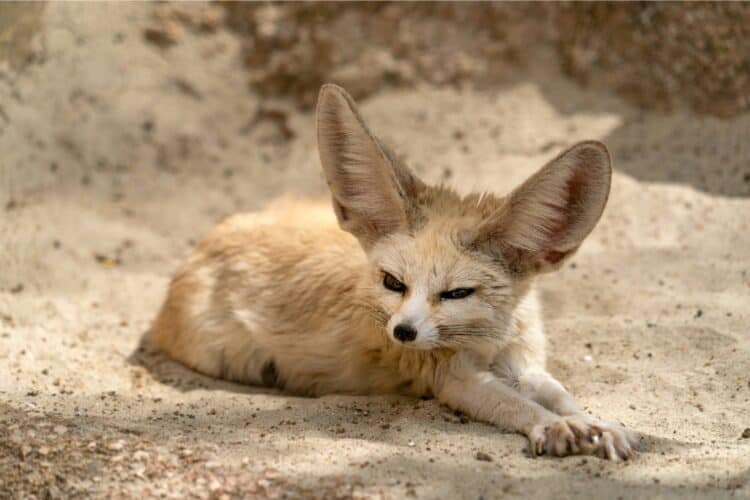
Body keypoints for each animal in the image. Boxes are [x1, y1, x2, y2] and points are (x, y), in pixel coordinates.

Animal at [150, 84, 635, 460]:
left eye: (457, 293)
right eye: (393, 283)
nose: (402, 332)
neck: (488, 343)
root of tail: (214, 233)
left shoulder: (524, 361)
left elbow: (560, 394)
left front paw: (593, 422)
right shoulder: (452, 377)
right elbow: (515, 405)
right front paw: (553, 426)